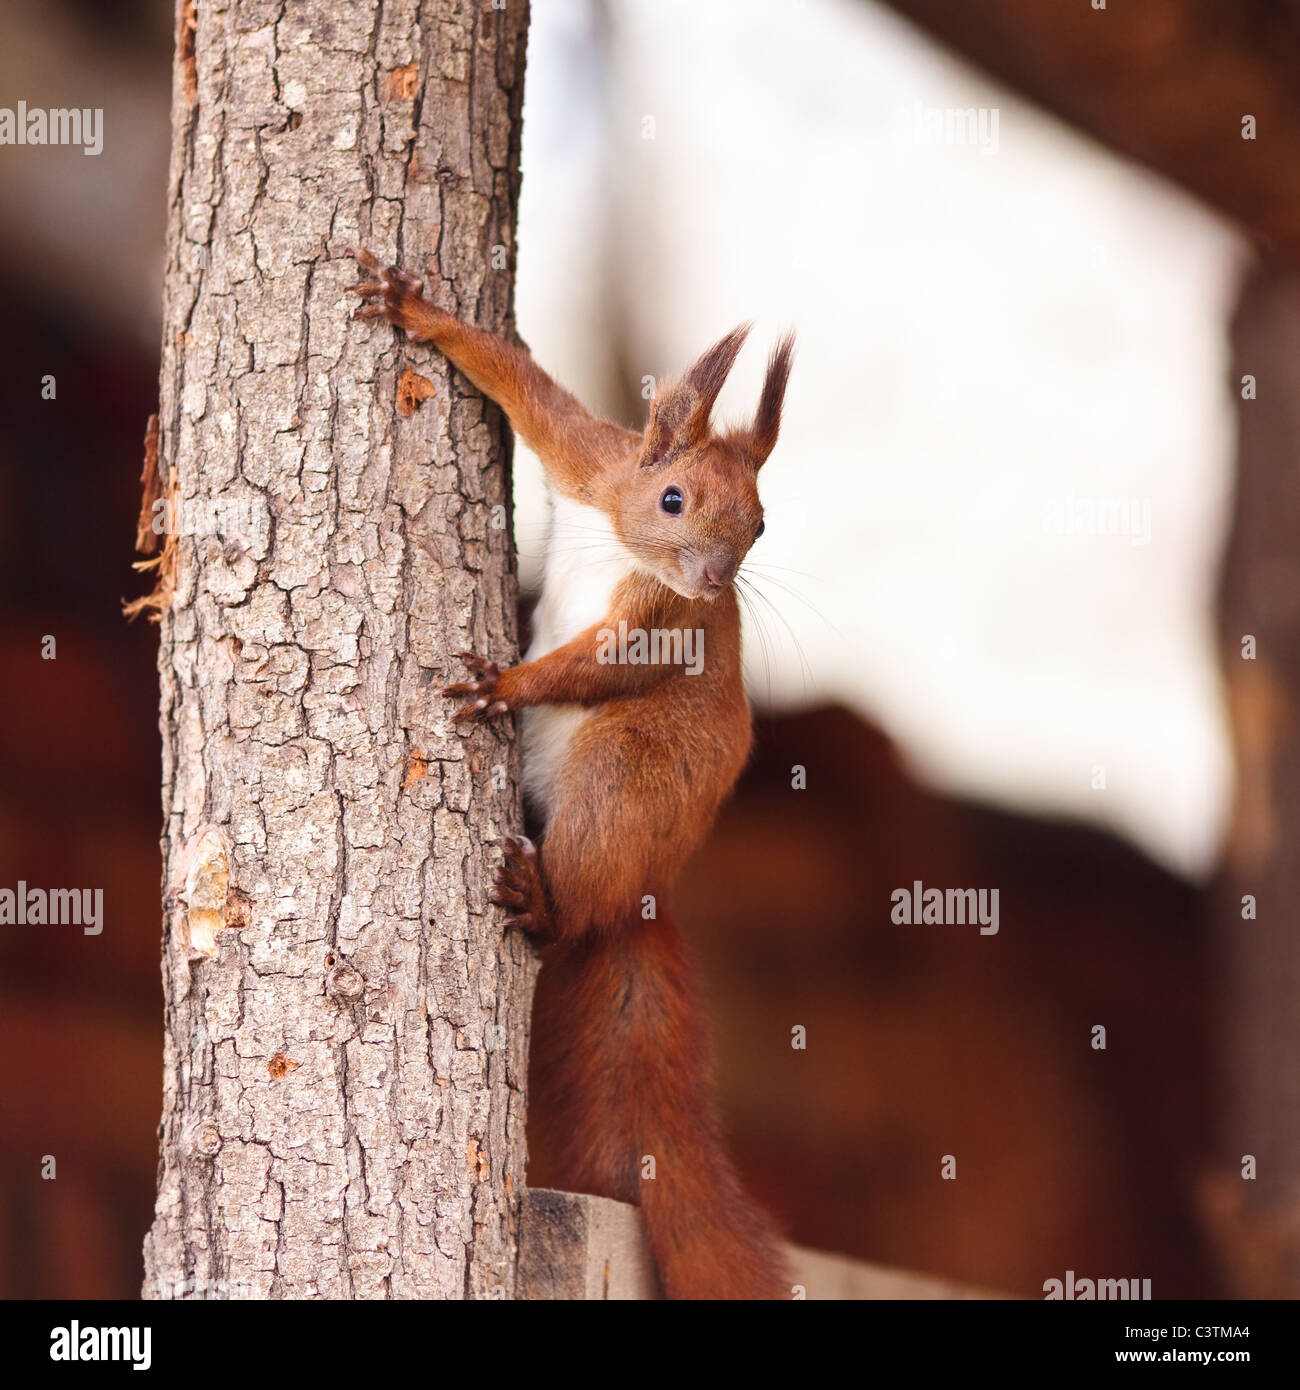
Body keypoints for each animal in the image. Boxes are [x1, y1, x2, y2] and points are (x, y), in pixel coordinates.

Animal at [350, 249, 794, 1300]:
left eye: (760, 525)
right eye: (672, 499)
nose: (715, 579)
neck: (626, 543)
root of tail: (641, 894)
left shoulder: (663, 625)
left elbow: (597, 668)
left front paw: (505, 683)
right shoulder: (588, 458)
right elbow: (523, 386)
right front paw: (417, 310)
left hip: (620, 780)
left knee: (573, 897)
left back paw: (543, 898)